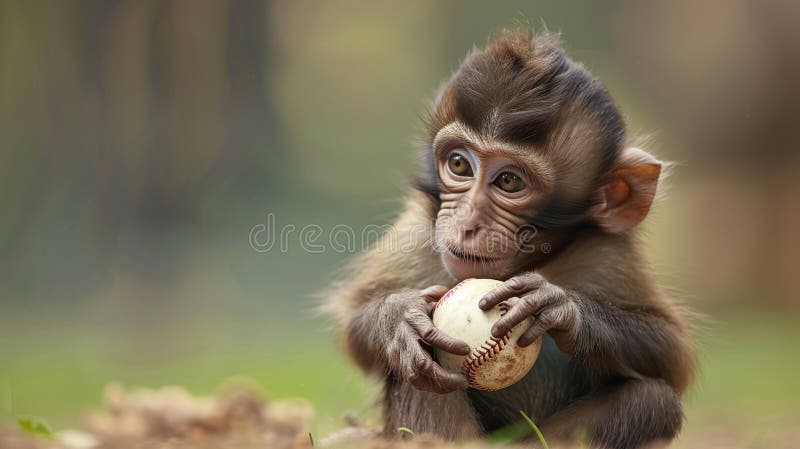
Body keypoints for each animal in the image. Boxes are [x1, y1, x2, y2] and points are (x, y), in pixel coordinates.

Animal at [323, 30, 696, 449]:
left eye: (509, 181)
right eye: (458, 164)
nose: (467, 221)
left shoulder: (609, 254)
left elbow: (672, 354)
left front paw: (561, 308)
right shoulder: (415, 234)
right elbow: (355, 324)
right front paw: (401, 318)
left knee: (651, 400)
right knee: (414, 375)